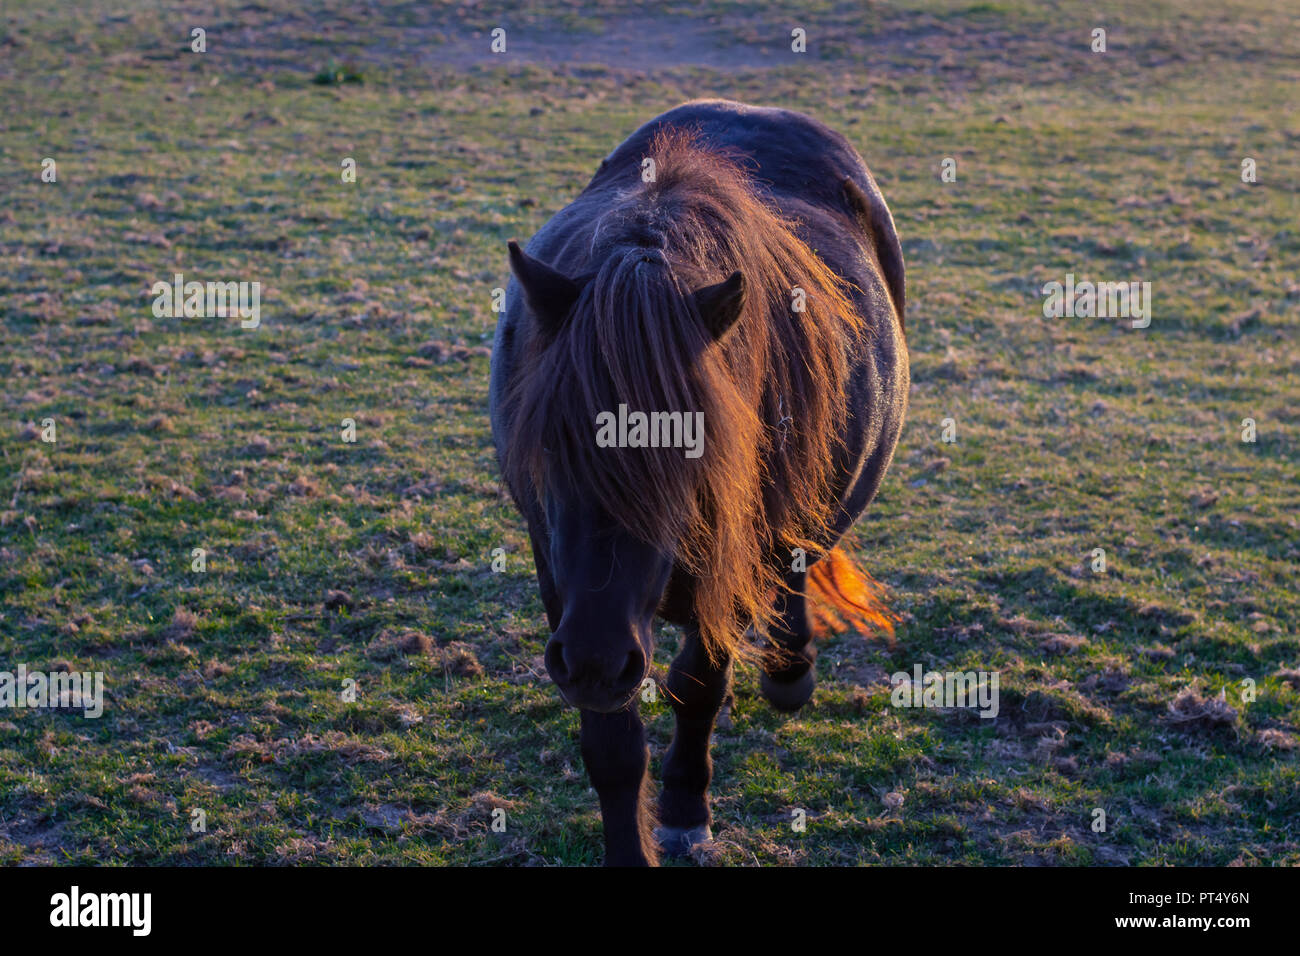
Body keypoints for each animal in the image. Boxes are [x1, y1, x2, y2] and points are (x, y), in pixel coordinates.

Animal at [489, 99, 909, 866]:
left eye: (692, 445)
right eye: (552, 440)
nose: (595, 661)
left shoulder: (733, 563)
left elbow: (698, 685)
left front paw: (685, 810)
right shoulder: (558, 574)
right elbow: (613, 742)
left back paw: (789, 670)